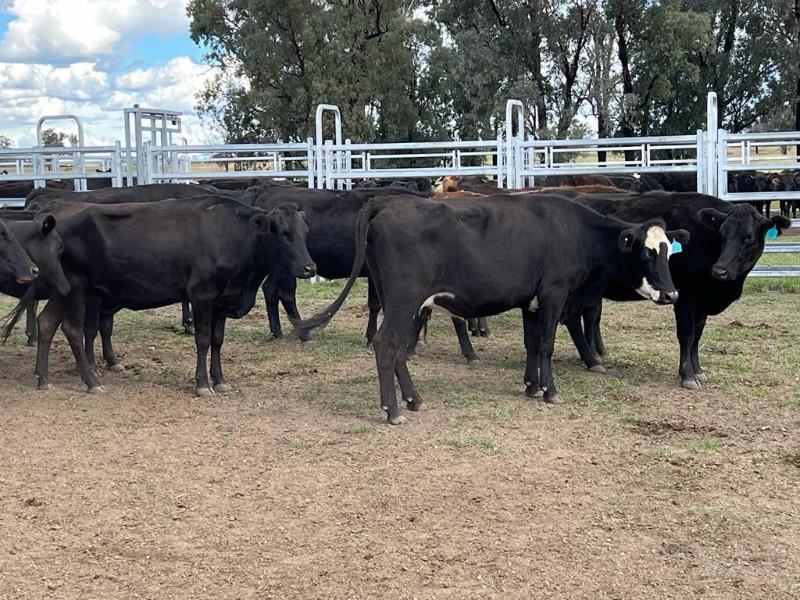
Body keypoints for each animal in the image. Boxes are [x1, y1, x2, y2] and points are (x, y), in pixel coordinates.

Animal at [3, 196, 316, 396]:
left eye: (304, 231)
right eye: (282, 233)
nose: (309, 267)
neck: (232, 235)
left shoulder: (221, 299)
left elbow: (217, 341)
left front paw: (220, 380)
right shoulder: (201, 295)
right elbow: (203, 340)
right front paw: (202, 384)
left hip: (63, 290)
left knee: (46, 324)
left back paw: (44, 378)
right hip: (78, 288)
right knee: (72, 329)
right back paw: (91, 381)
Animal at [296, 193, 686, 424]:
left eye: (669, 251)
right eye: (645, 252)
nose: (672, 294)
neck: (575, 230)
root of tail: (387, 203)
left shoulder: (531, 303)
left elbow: (532, 344)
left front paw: (531, 385)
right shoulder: (554, 295)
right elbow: (547, 345)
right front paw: (551, 391)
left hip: (398, 301)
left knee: (398, 349)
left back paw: (413, 399)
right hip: (404, 300)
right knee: (386, 344)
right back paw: (393, 410)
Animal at [553, 190, 791, 389]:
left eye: (748, 237)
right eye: (723, 234)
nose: (720, 270)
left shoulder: (701, 302)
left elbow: (697, 335)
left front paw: (698, 370)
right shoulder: (685, 296)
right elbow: (686, 334)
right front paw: (687, 376)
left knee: (589, 316)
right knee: (577, 318)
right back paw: (591, 357)